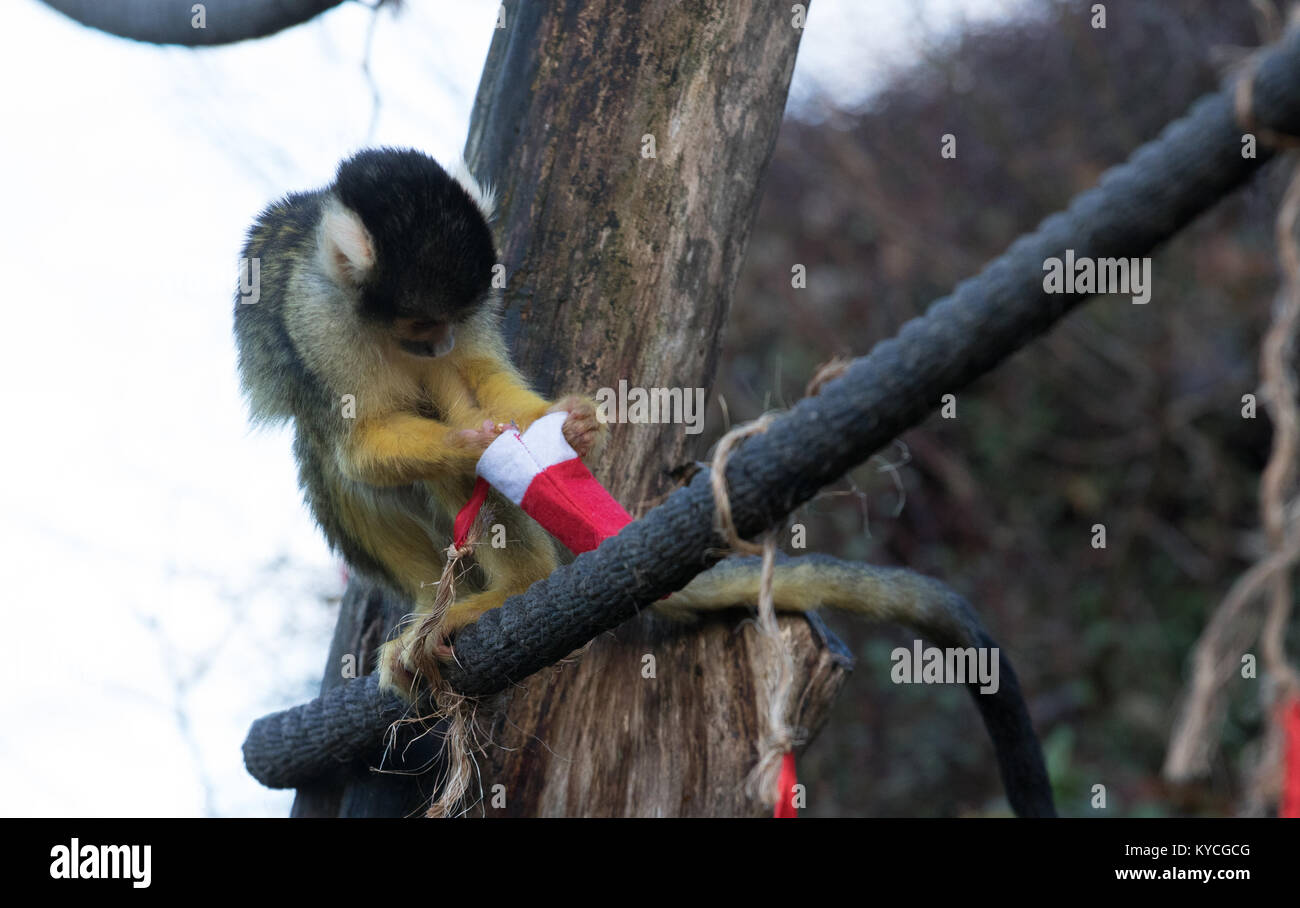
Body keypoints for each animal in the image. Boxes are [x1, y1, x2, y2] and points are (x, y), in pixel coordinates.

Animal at [233, 147, 1054, 816]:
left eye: (447, 322)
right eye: (416, 326)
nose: (435, 344)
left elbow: (482, 380)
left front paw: (563, 425)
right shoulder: (319, 322)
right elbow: (359, 446)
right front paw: (471, 443)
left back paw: (510, 585)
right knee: (323, 449)